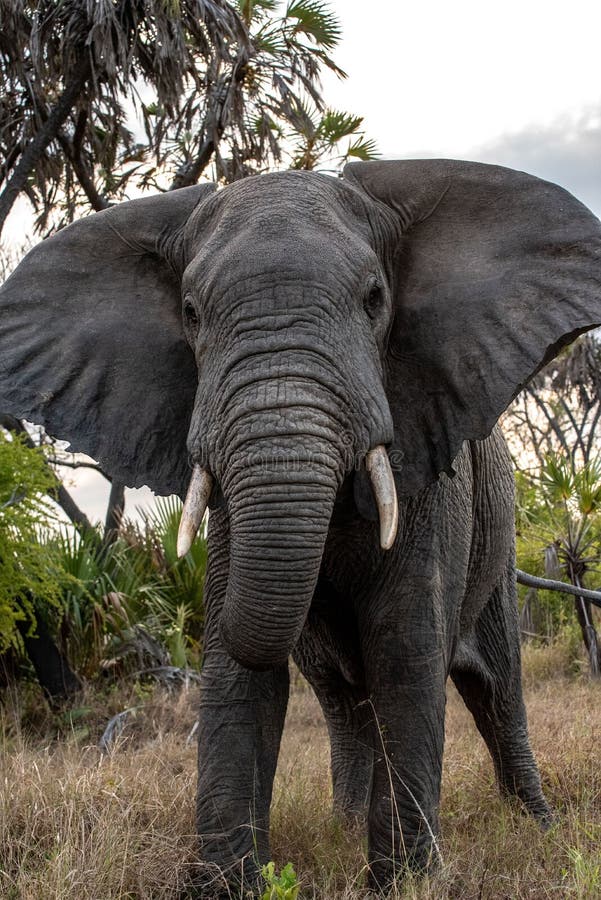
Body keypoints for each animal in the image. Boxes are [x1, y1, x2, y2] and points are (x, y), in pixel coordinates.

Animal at [1, 159, 601, 894]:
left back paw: (534, 826)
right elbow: (240, 671)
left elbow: (405, 651)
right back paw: (343, 826)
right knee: (344, 699)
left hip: (499, 530)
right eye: (190, 313)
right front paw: (227, 885)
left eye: (374, 298)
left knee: (495, 689)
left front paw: (403, 883)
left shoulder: (430, 478)